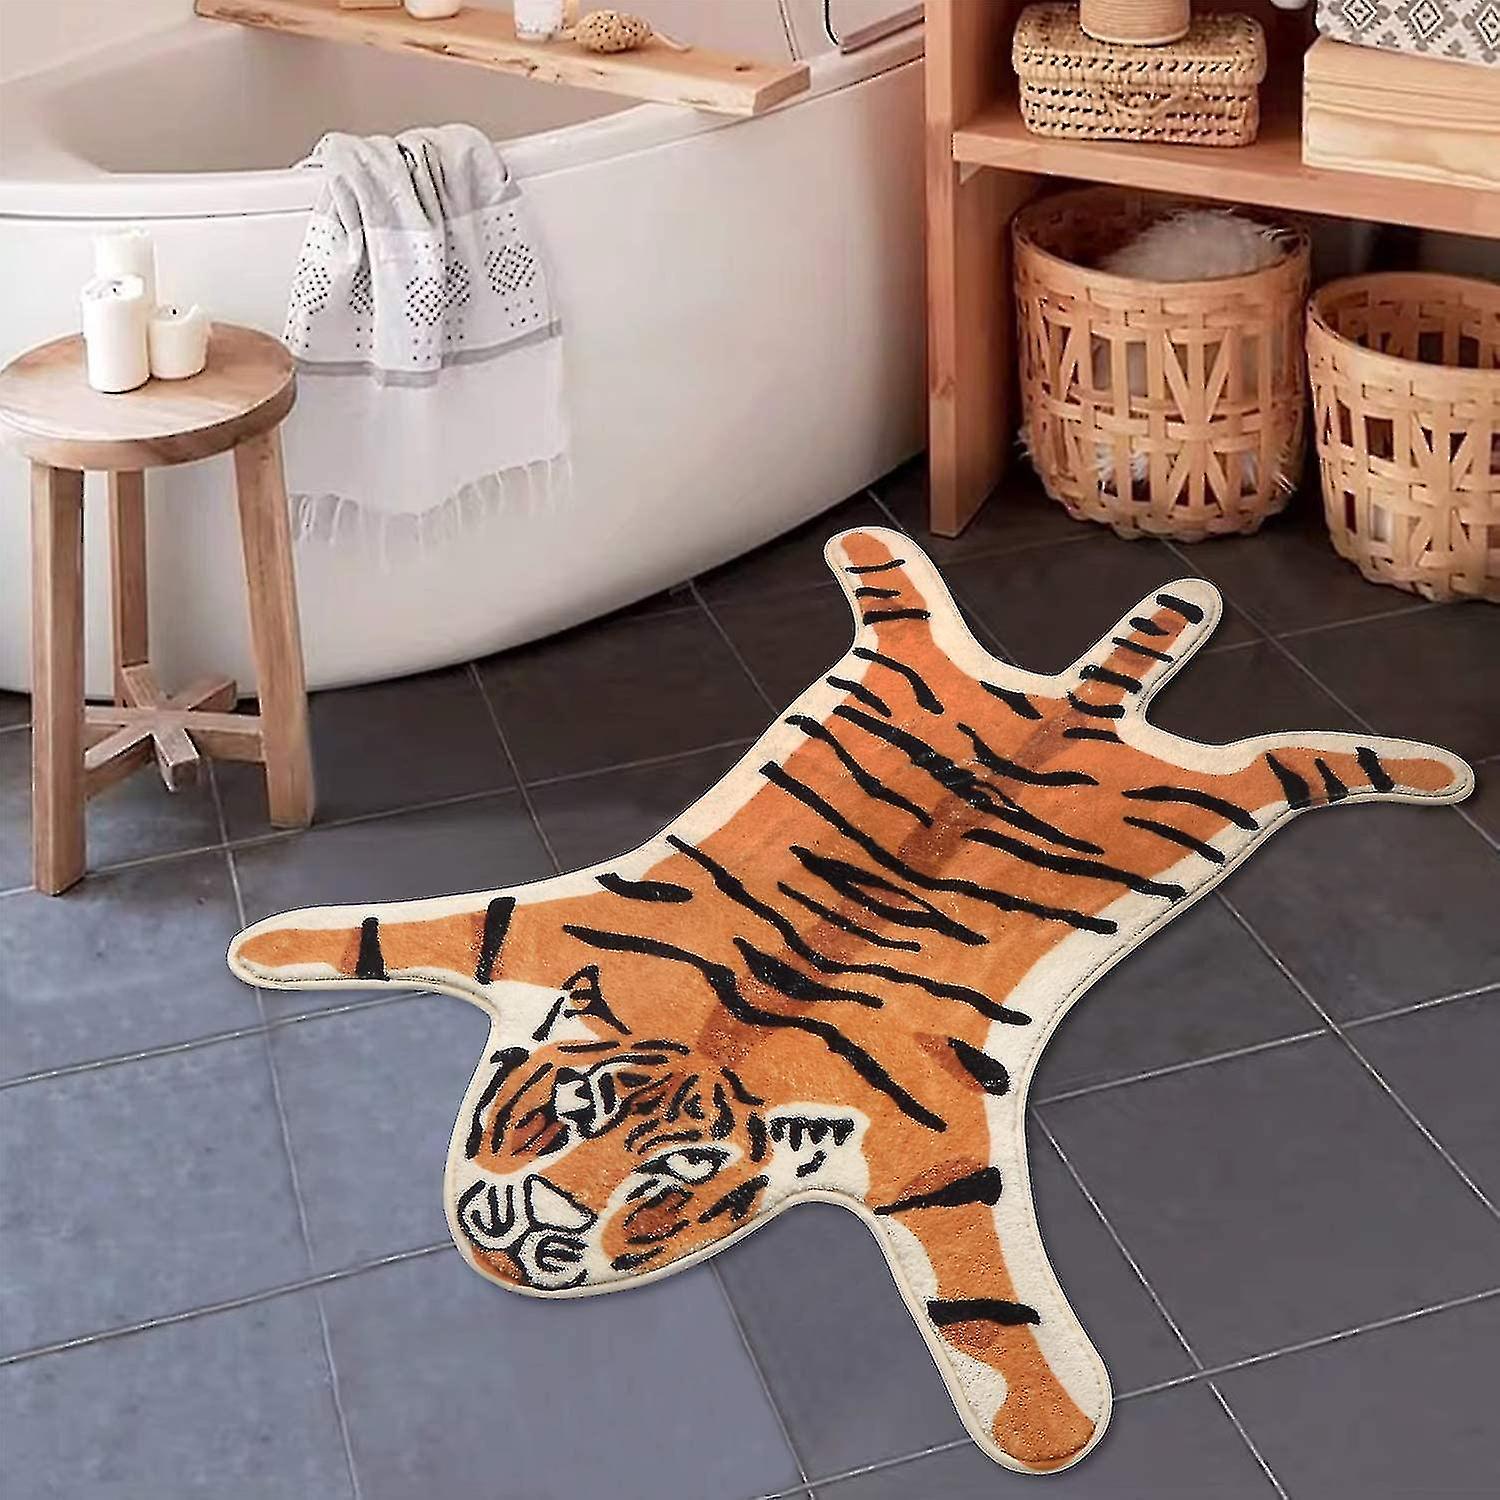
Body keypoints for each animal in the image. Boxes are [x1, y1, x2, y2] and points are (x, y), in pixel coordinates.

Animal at [228, 527, 1472, 1476]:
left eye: (678, 1174)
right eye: (576, 1114)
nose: (550, 1223)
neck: (731, 1039)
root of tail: (1074, 705)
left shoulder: (948, 1157)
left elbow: (993, 1309)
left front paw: (1048, 1428)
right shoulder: (539, 926)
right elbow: (398, 927)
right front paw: (269, 942)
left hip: (1234, 794)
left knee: (1299, 758)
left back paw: (1433, 768)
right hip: (912, 675)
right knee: (907, 609)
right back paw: (871, 544)